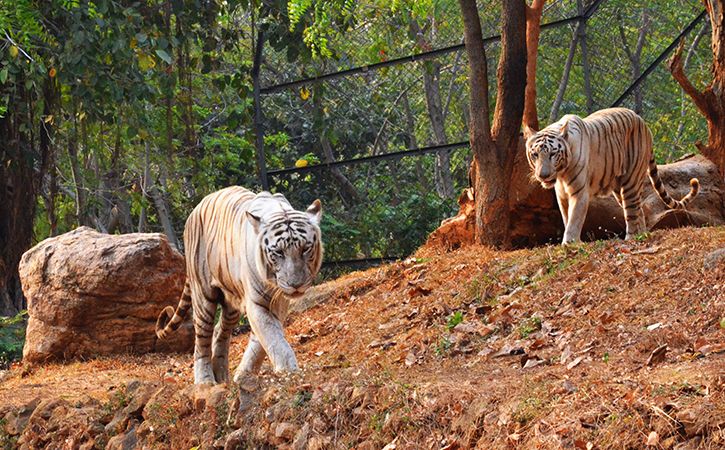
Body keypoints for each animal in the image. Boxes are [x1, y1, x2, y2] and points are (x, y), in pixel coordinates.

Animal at [155, 186, 323, 384]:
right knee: (202, 340)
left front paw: (244, 374)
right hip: (203, 296)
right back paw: (205, 381)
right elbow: (272, 337)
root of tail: (195, 210)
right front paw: (289, 371)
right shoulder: (257, 302)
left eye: (305, 249)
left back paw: (221, 375)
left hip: (231, 303)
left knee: (220, 331)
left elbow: (261, 341)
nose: (296, 284)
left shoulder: (277, 303)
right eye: (279, 252)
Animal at [524, 107, 699, 244]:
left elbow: (574, 218)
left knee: (632, 212)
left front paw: (570, 243)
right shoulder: (561, 195)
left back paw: (631, 238)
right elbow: (567, 217)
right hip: (619, 189)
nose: (543, 175)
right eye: (535, 155)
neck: (561, 174)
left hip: (630, 182)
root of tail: (644, 124)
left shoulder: (579, 192)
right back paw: (643, 234)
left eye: (553, 154)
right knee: (639, 209)